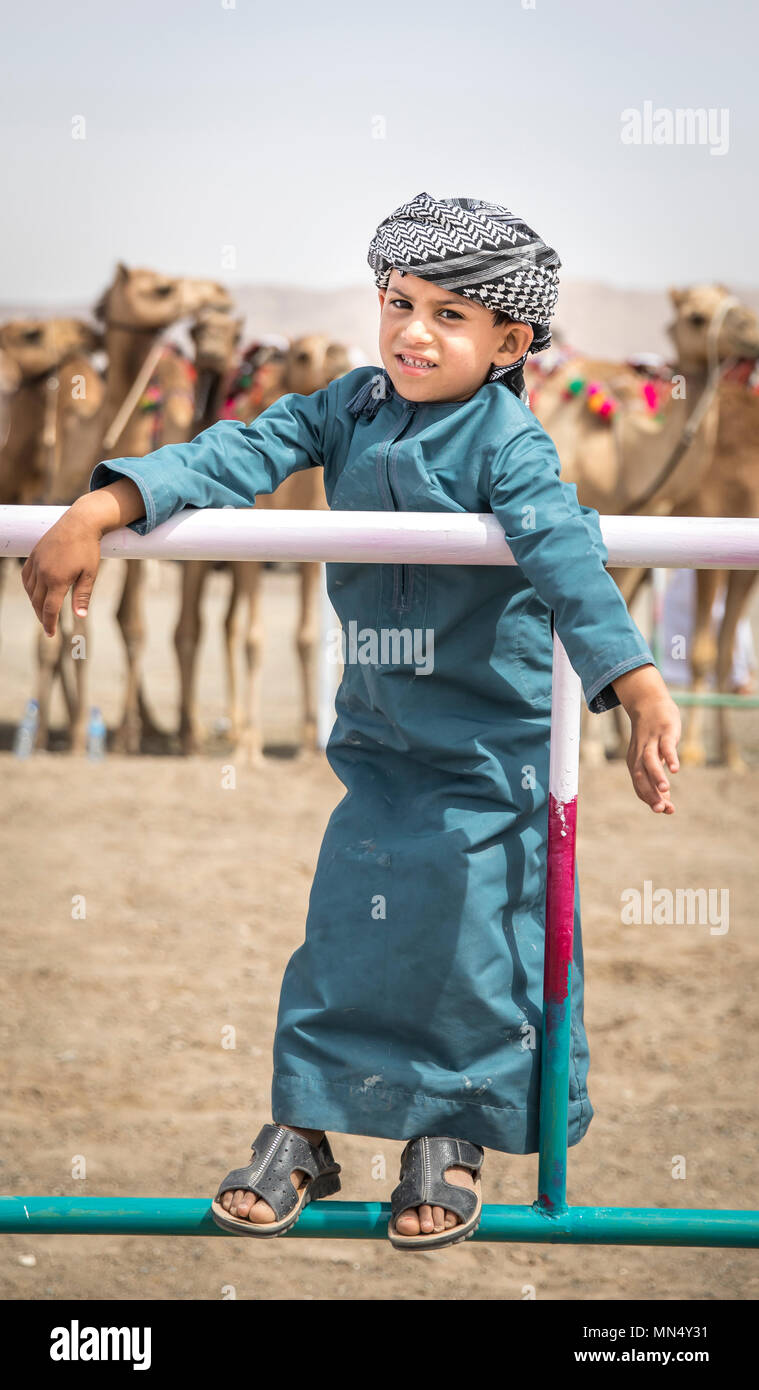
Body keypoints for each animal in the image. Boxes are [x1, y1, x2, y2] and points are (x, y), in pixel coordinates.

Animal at [175, 328, 351, 763]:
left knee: (225, 627)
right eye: (303, 354)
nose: (341, 356)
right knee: (189, 628)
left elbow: (305, 637)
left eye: (332, 344)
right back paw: (190, 737)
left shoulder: (310, 561)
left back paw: (229, 725)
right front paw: (250, 746)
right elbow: (254, 639)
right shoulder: (250, 560)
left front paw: (307, 742)